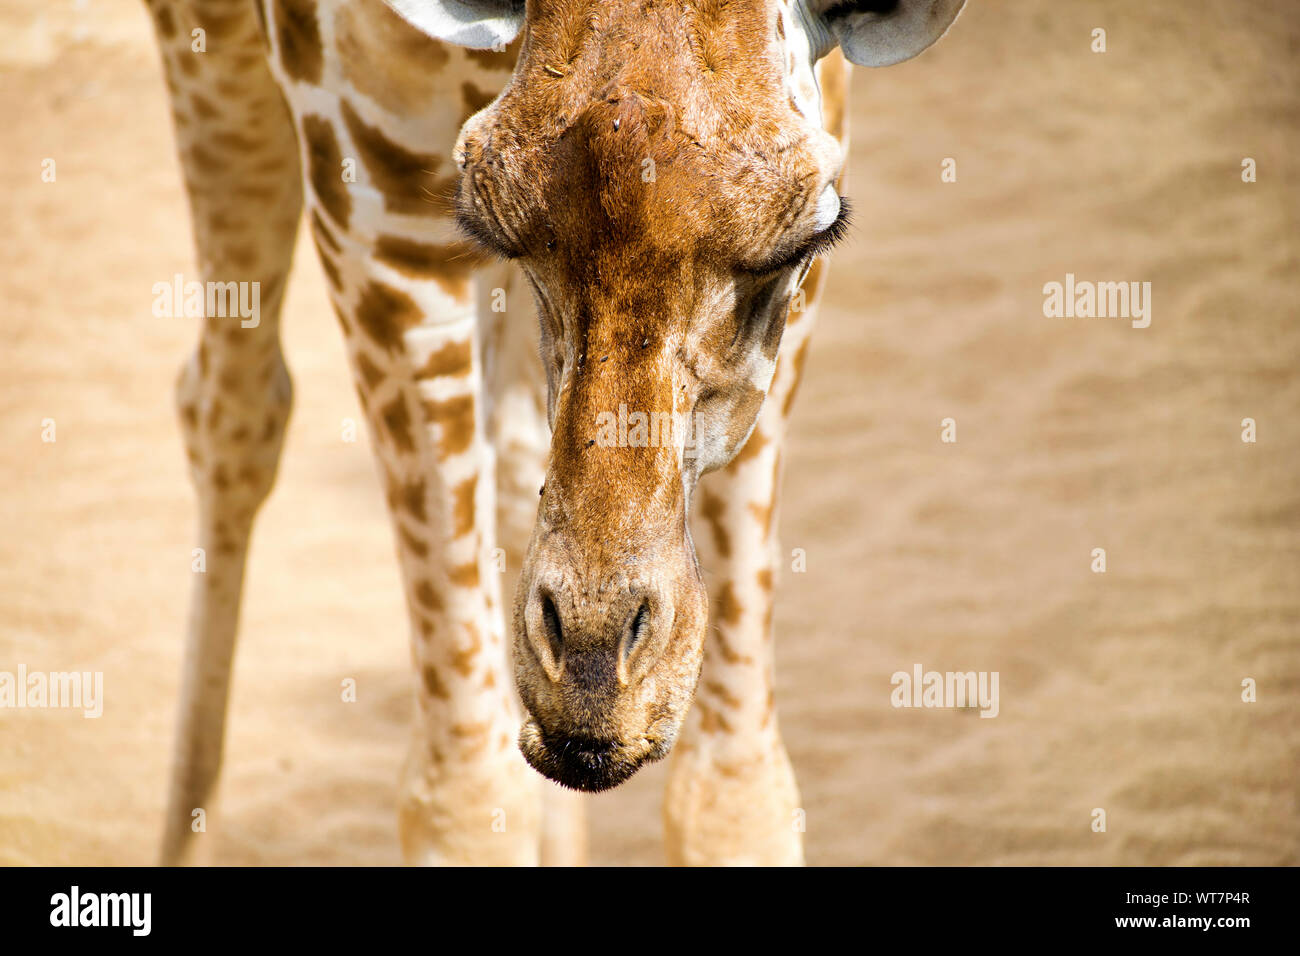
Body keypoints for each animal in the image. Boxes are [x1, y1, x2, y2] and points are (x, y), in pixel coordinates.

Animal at [143, 0, 963, 866]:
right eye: (488, 218)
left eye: (803, 243)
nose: (595, 678)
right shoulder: (371, 173)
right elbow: (465, 793)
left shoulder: (824, 114)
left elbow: (733, 796)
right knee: (231, 403)